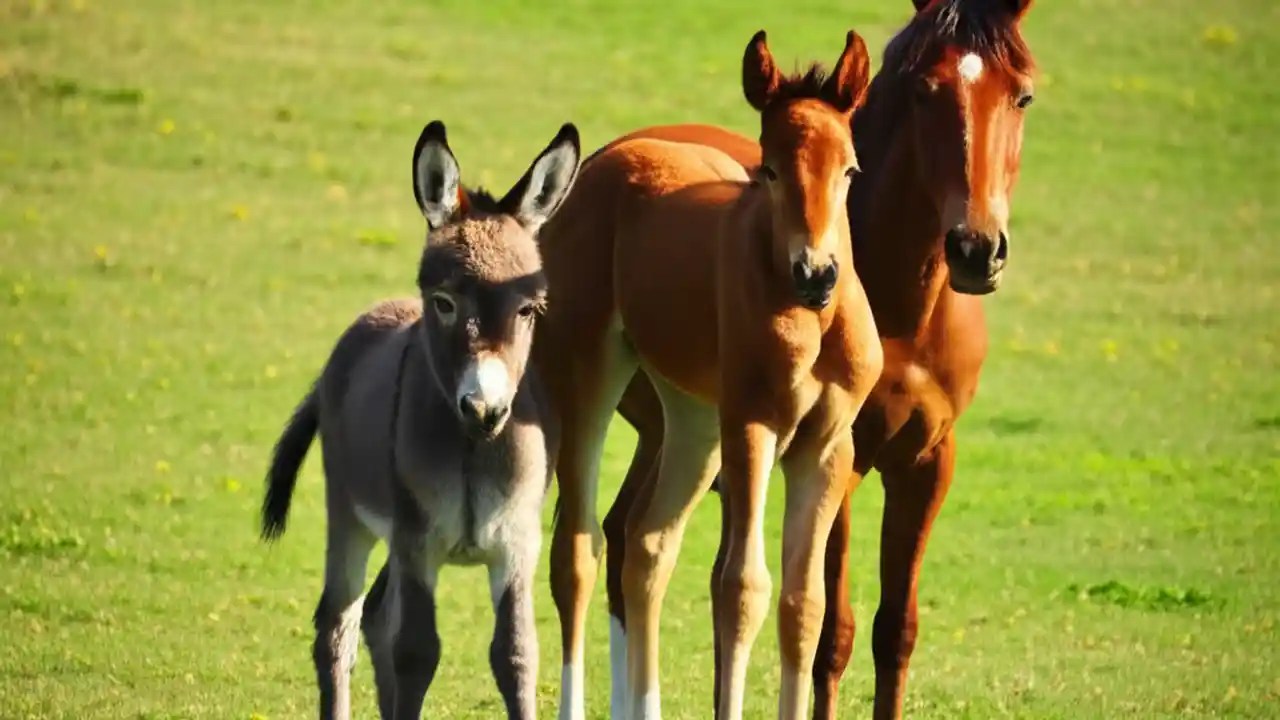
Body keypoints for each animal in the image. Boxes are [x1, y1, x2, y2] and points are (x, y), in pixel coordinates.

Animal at [258, 120, 581, 720]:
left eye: (529, 309)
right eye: (444, 302)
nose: (484, 409)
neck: (473, 449)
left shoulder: (516, 547)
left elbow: (517, 654)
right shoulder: (417, 545)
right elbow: (416, 652)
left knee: (377, 614)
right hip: (351, 516)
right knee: (339, 625)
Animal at [535, 30, 881, 720]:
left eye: (850, 169)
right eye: (769, 168)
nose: (816, 273)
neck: (814, 322)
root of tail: (609, 160)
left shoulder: (829, 447)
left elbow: (804, 603)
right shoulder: (752, 428)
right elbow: (741, 586)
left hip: (693, 422)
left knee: (646, 545)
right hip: (588, 378)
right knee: (578, 552)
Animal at [598, 1, 1039, 718]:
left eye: (1022, 94)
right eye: (924, 90)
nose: (976, 248)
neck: (904, 312)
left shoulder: (927, 462)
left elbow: (896, 629)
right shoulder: (845, 455)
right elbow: (834, 629)